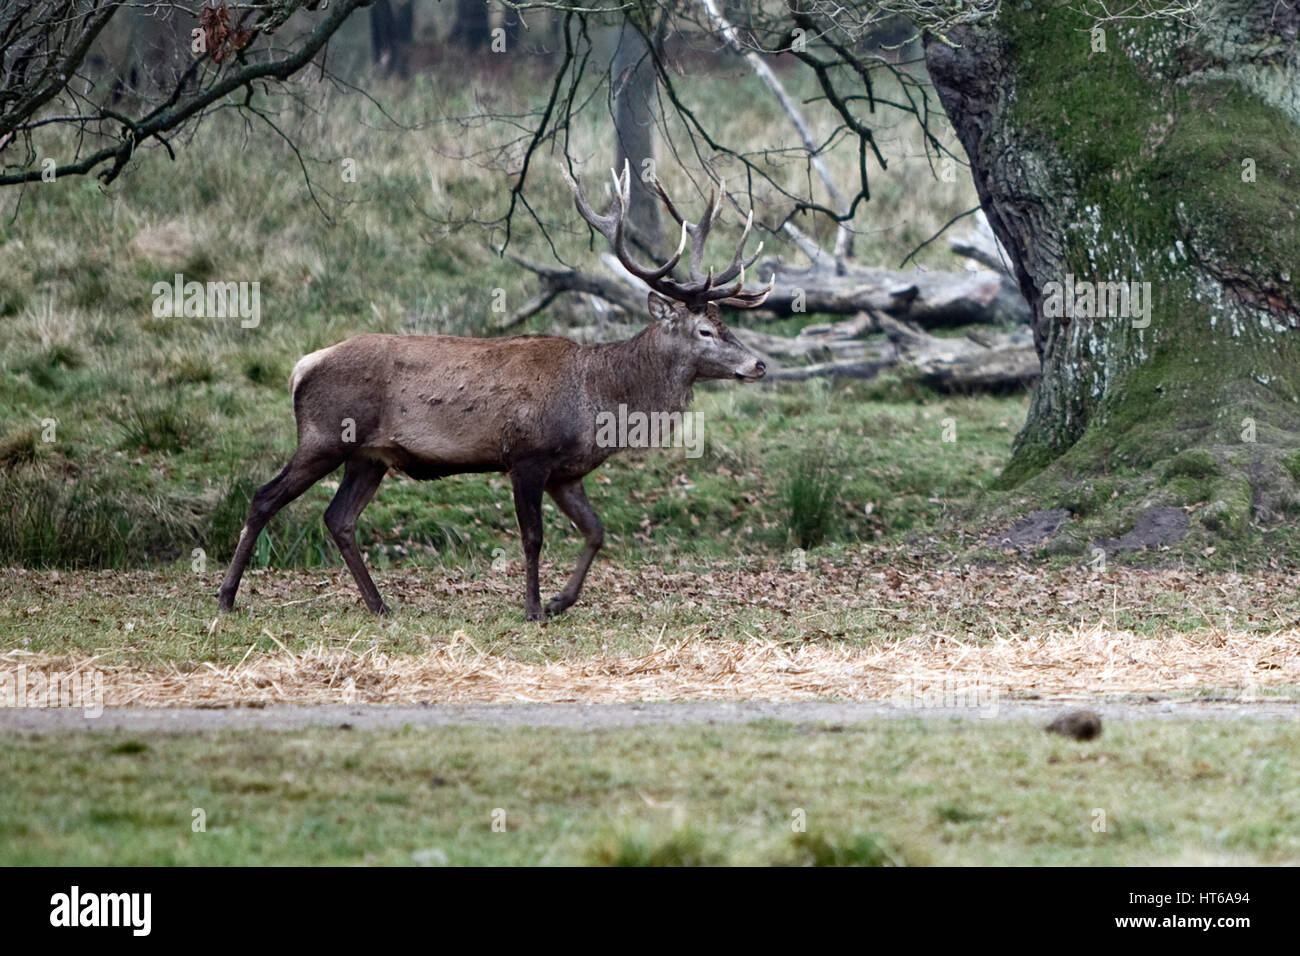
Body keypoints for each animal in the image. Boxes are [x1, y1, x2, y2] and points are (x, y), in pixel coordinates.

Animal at [217, 161, 773, 620]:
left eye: (726, 325)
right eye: (705, 330)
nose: (760, 364)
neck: (599, 401)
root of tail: (301, 367)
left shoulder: (566, 471)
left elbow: (596, 531)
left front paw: (561, 601)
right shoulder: (527, 455)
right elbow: (532, 537)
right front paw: (533, 608)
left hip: (369, 456)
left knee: (339, 518)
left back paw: (379, 605)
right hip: (324, 435)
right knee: (264, 497)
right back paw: (227, 597)